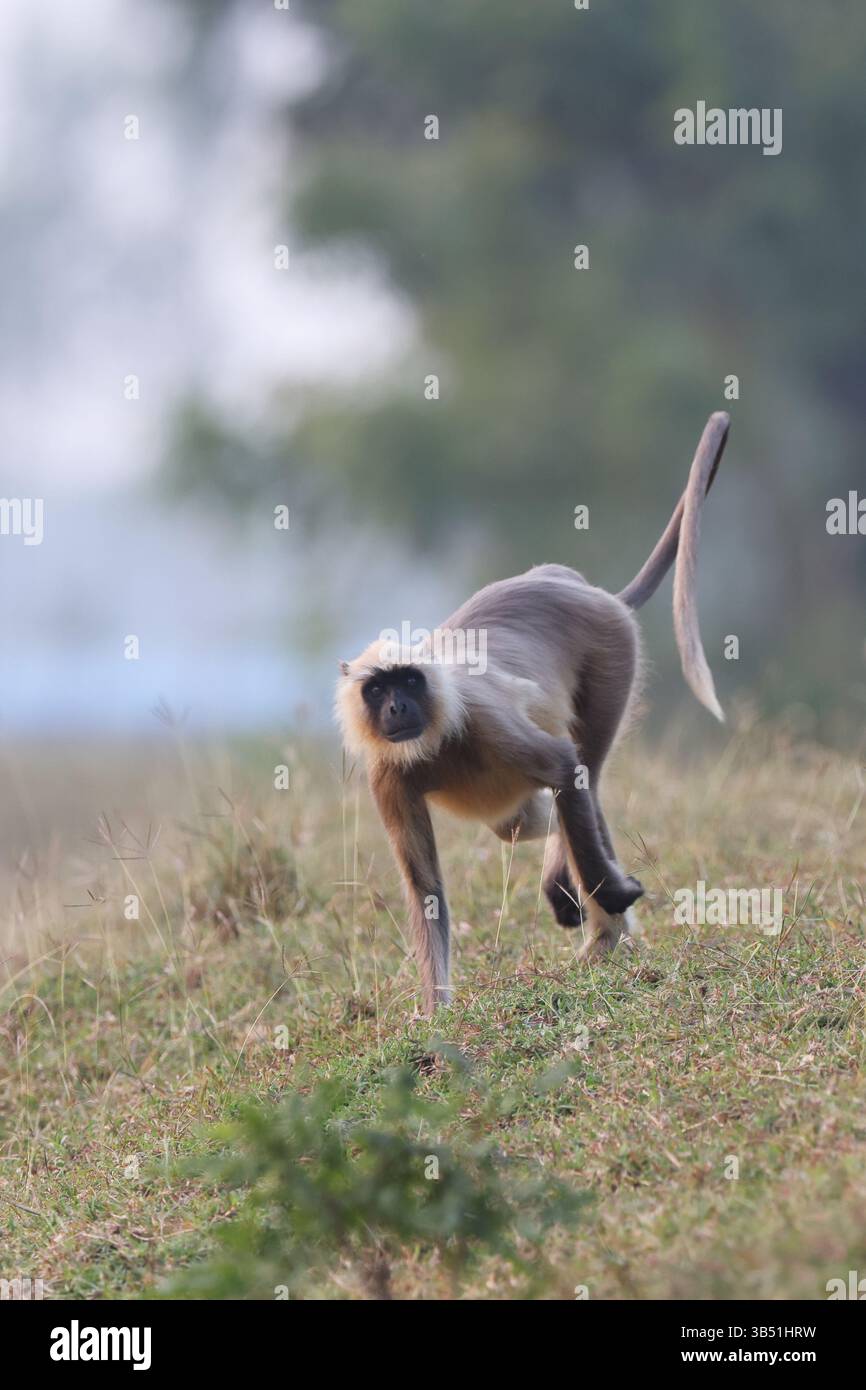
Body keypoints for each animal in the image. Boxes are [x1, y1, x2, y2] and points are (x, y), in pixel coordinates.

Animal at [336, 412, 730, 1015]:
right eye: (378, 690)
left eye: (408, 681)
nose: (399, 705)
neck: (437, 739)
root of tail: (590, 592)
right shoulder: (388, 774)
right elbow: (425, 887)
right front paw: (435, 1013)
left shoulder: (486, 719)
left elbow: (566, 764)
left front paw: (611, 892)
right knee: (528, 816)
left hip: (612, 654)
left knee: (584, 767)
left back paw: (598, 917)